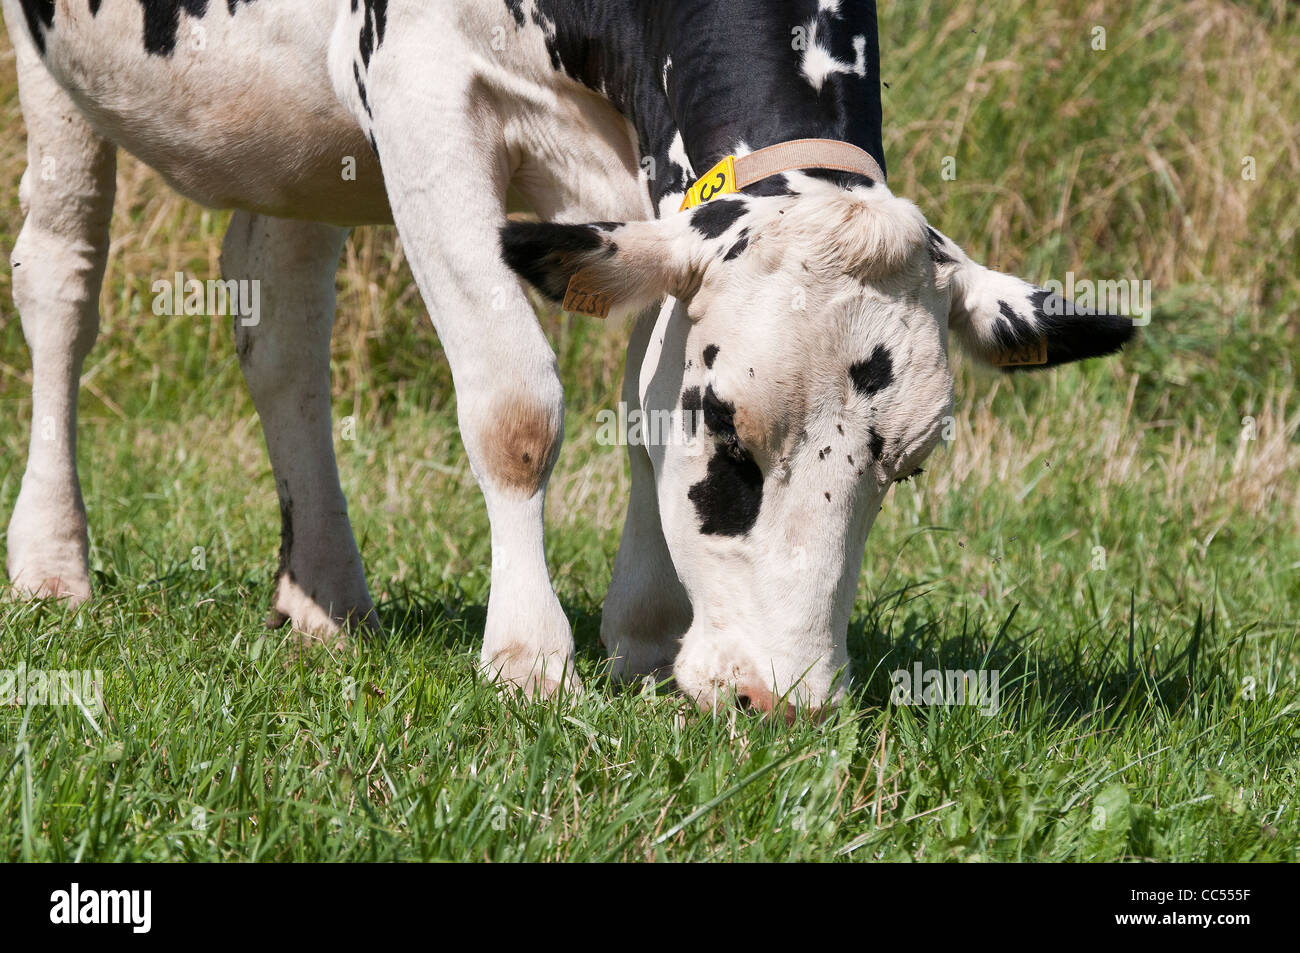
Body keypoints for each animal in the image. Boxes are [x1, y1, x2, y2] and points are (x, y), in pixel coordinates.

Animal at [2, 0, 1134, 716]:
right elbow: (515, 407)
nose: (783, 698)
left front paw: (641, 635)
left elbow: (635, 411)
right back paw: (52, 564)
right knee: (60, 279)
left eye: (907, 462)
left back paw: (325, 596)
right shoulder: (418, 90)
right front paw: (528, 656)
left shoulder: (654, 167)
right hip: (52, 70)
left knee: (280, 324)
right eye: (727, 432)